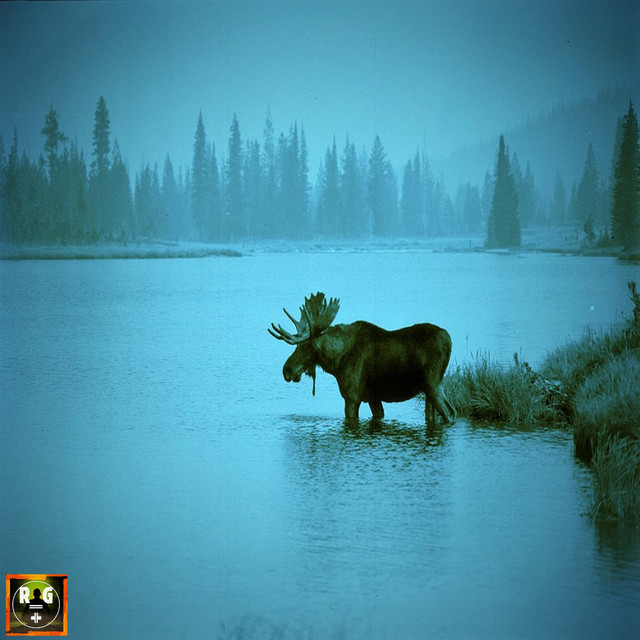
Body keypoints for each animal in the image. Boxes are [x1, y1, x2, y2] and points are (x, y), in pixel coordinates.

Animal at [269, 292, 456, 424]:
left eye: (306, 345)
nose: (286, 370)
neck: (336, 361)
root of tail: (449, 340)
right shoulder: (373, 397)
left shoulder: (352, 396)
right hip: (427, 390)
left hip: (433, 382)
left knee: (451, 412)